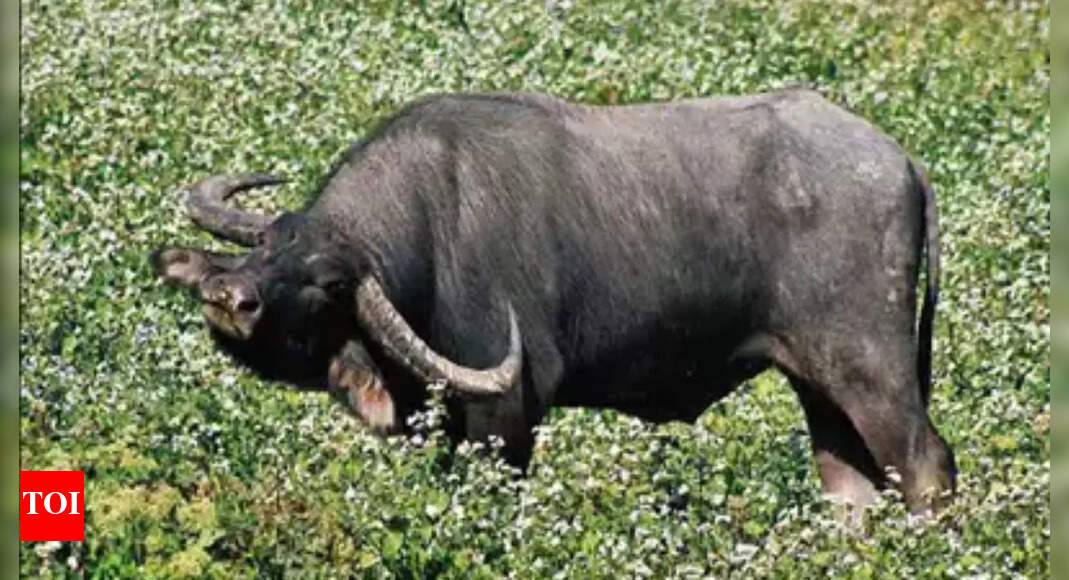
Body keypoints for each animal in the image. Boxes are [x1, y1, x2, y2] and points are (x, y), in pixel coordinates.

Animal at [152, 90, 955, 512]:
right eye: (268, 244)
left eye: (329, 282)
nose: (230, 297)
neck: (437, 234)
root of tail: (900, 160)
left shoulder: (507, 415)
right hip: (818, 385)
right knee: (851, 487)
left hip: (872, 370)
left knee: (926, 466)